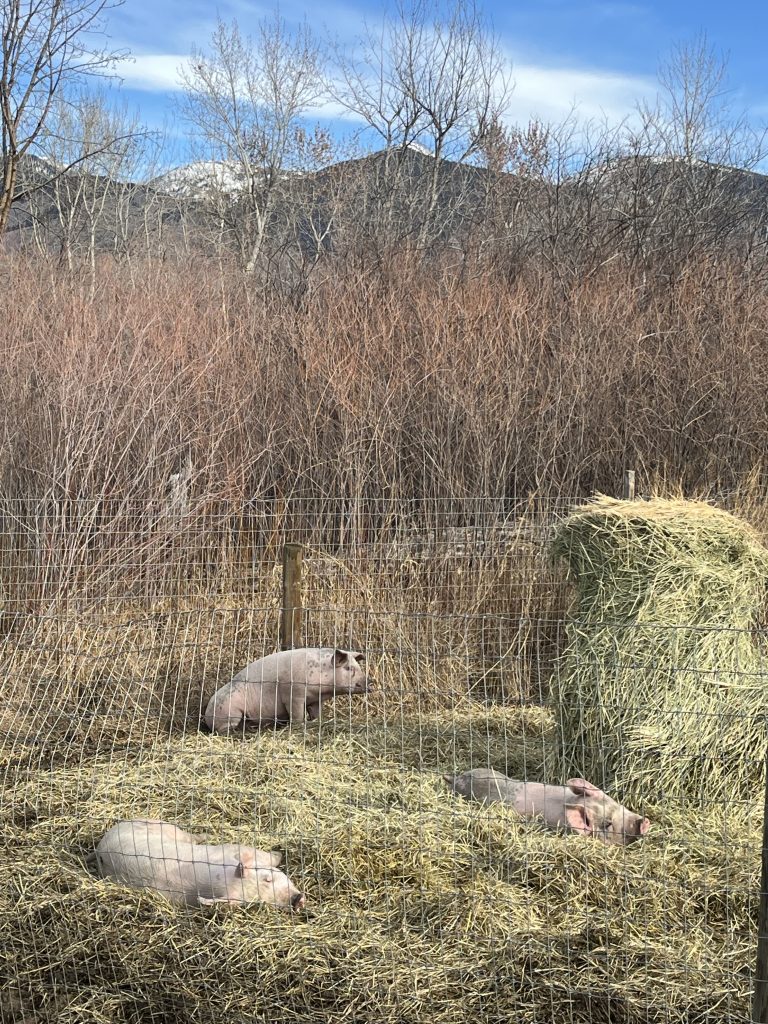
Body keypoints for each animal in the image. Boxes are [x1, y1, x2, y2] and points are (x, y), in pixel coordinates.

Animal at [204, 647, 372, 734]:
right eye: (348, 668)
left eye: (359, 666)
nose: (370, 683)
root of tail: (206, 712)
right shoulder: (293, 695)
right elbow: (297, 715)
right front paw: (299, 726)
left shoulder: (315, 701)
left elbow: (316, 714)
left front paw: (317, 721)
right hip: (229, 712)